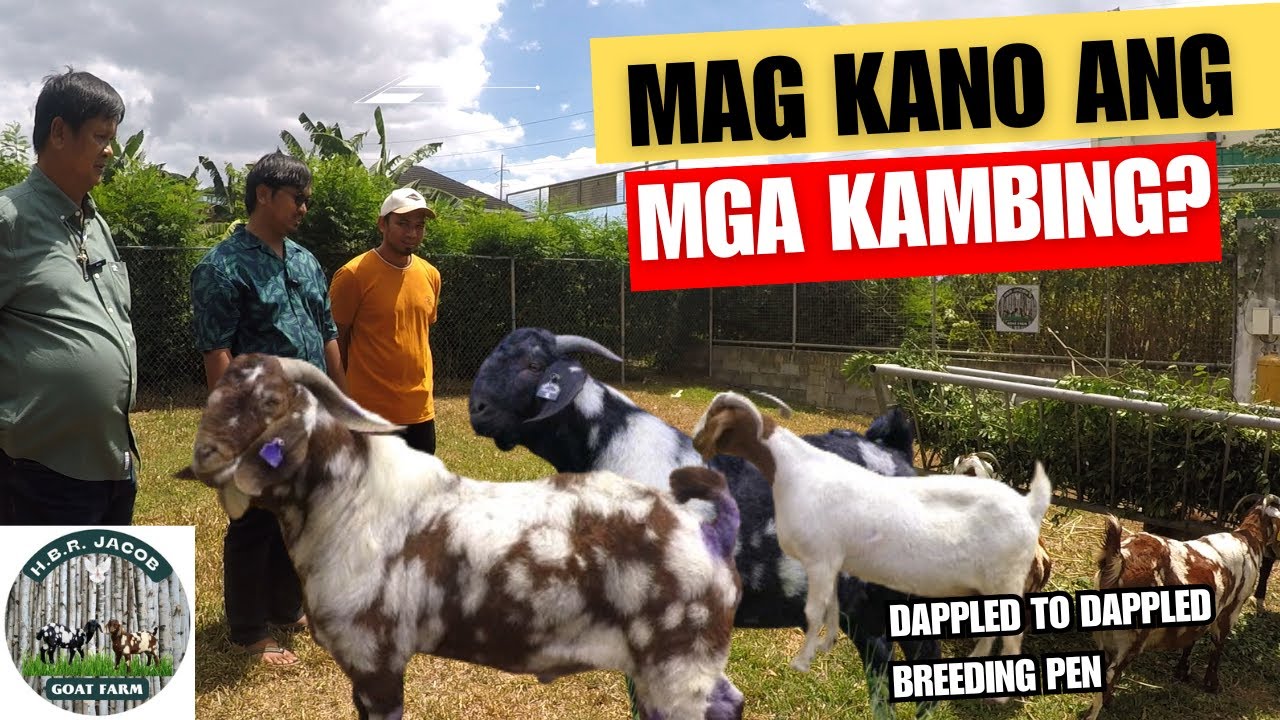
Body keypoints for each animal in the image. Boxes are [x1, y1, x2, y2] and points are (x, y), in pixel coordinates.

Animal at [178, 352, 746, 720]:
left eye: (269, 398)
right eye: (214, 394)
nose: (204, 456)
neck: (353, 503)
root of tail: (710, 526)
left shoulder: (376, 660)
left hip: (680, 663)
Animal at [1084, 493, 1280, 719]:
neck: (1248, 537)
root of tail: (1118, 560)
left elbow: (1191, 639)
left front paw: (1182, 672)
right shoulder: (1232, 608)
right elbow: (1218, 645)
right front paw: (1212, 685)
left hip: (1105, 634)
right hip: (1131, 638)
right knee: (1110, 676)